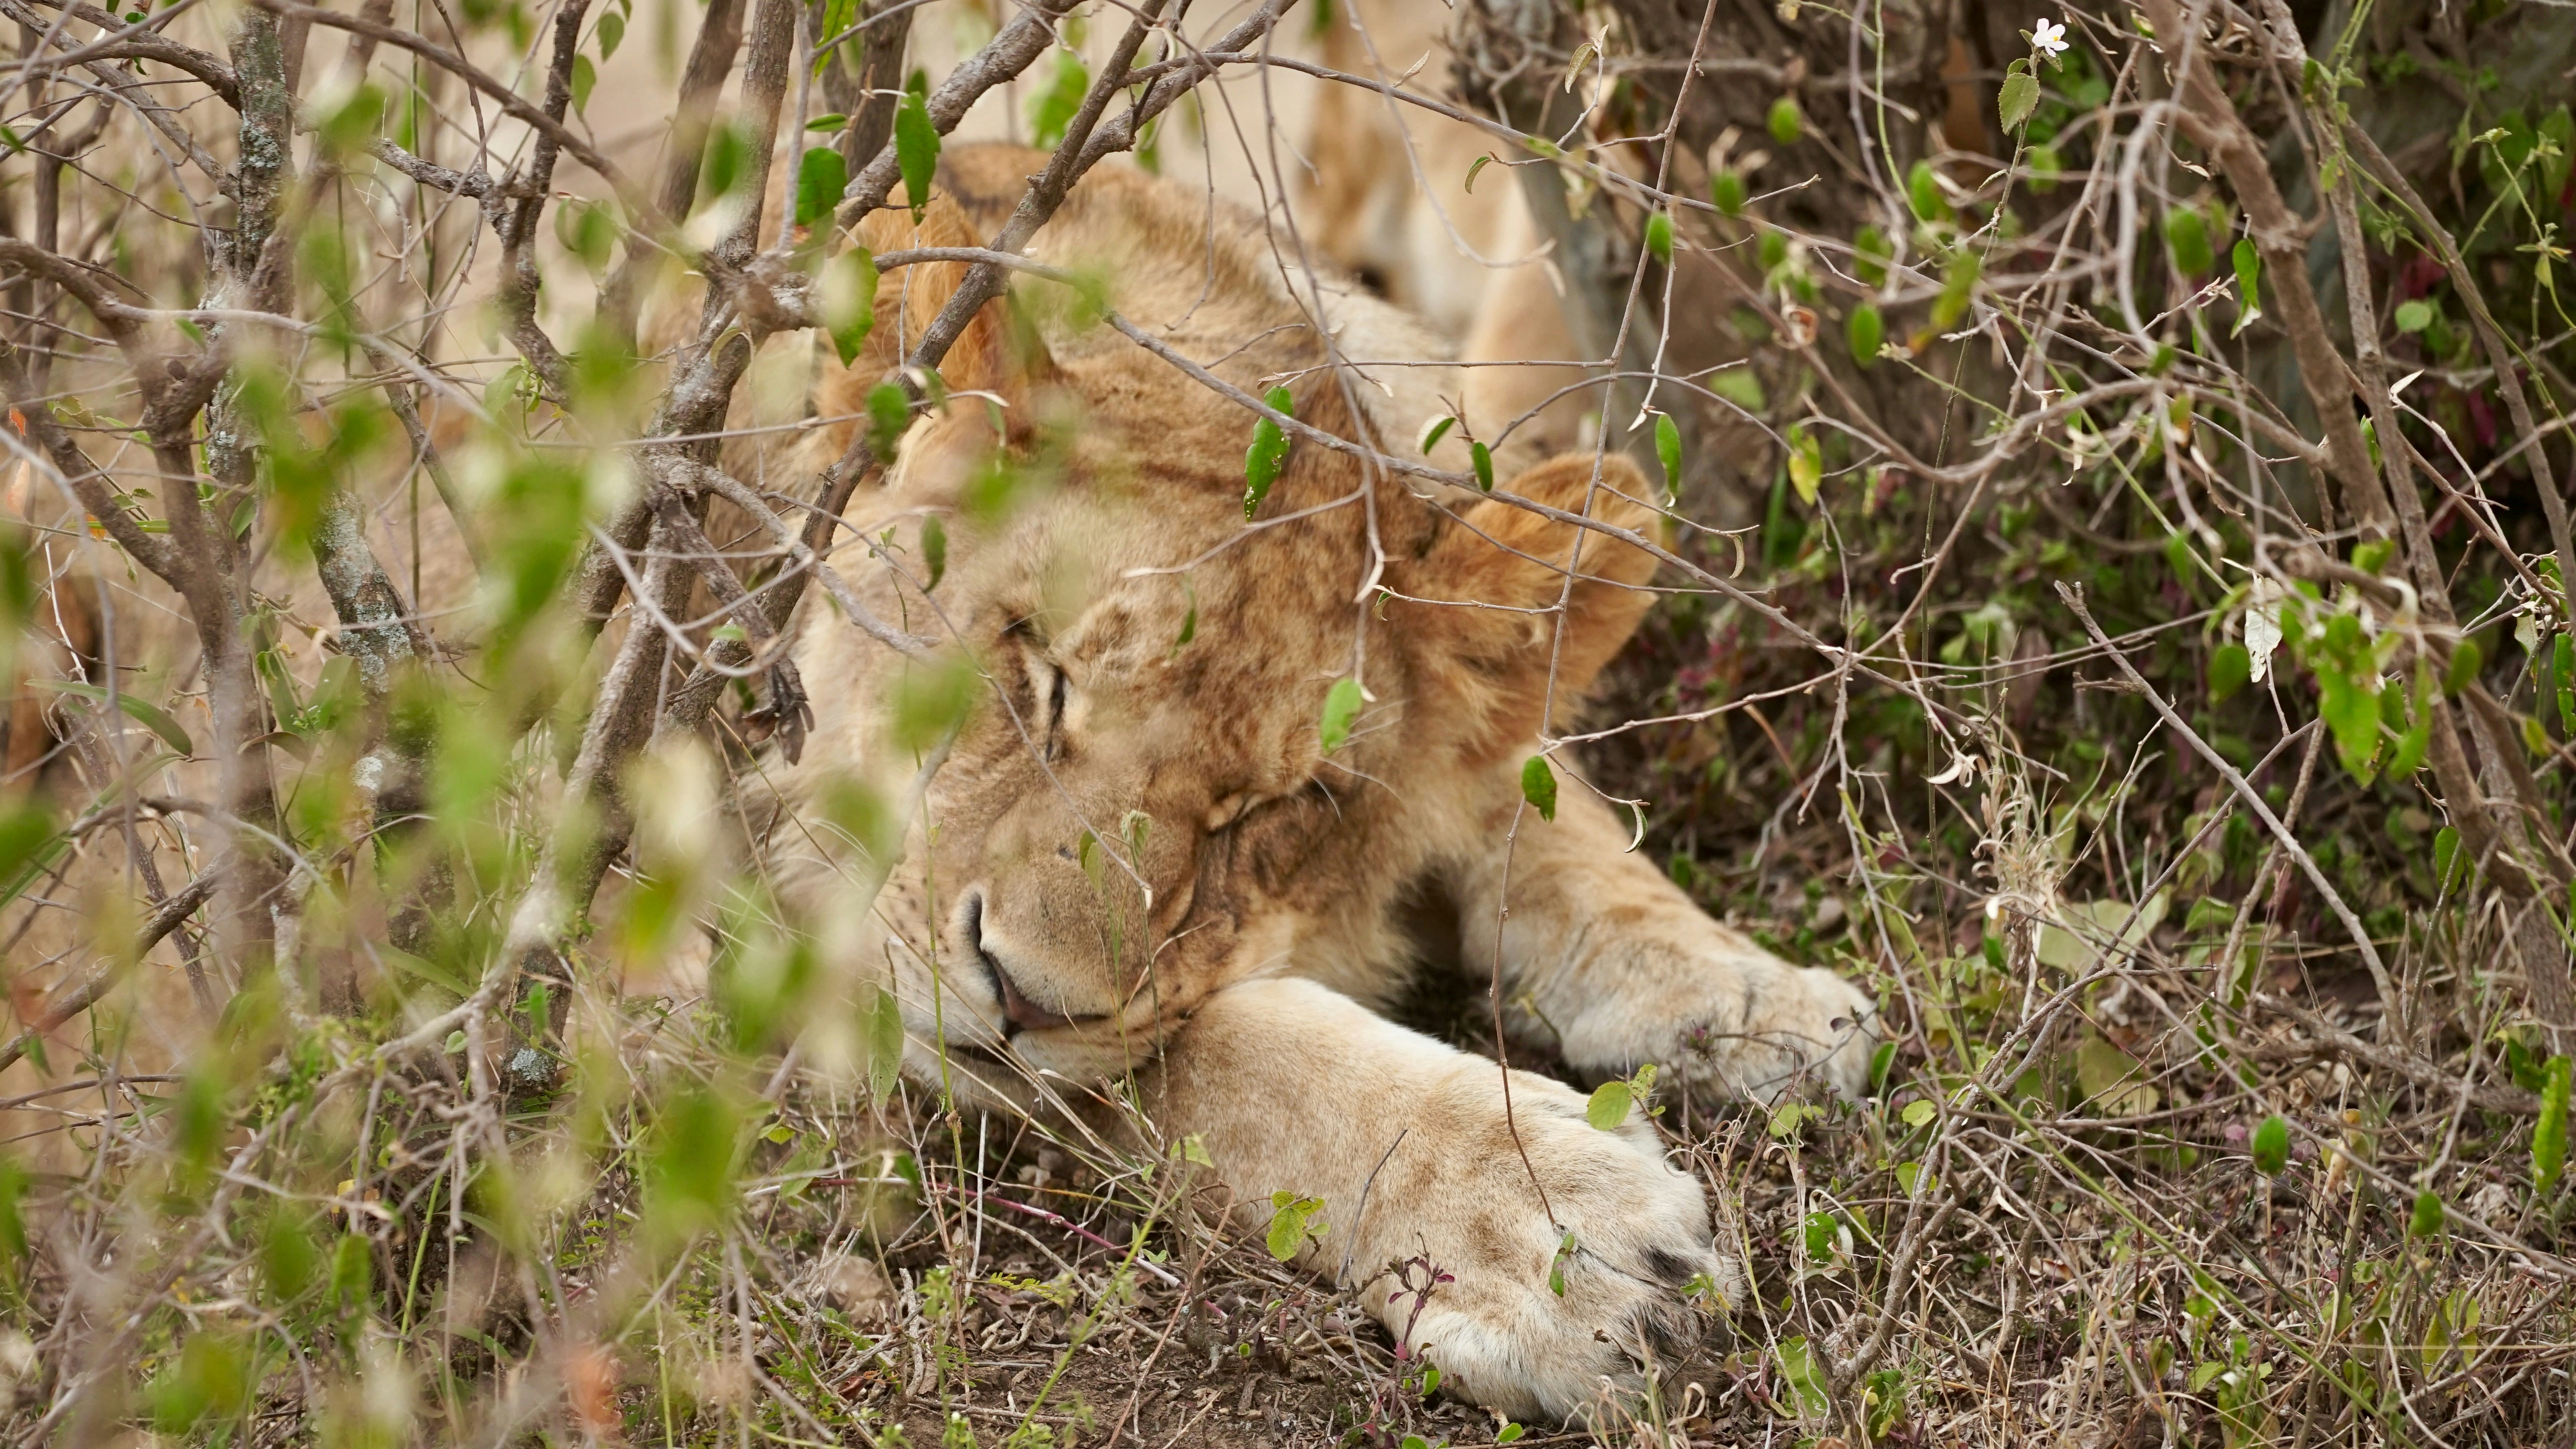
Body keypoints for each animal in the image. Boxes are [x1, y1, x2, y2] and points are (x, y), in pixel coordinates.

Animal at [758, 144, 1879, 1421]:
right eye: (1041, 677)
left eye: (1270, 810)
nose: (1023, 1002)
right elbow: (1236, 1056)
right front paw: (1549, 1234)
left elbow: (1541, 813)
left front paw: (1751, 997)